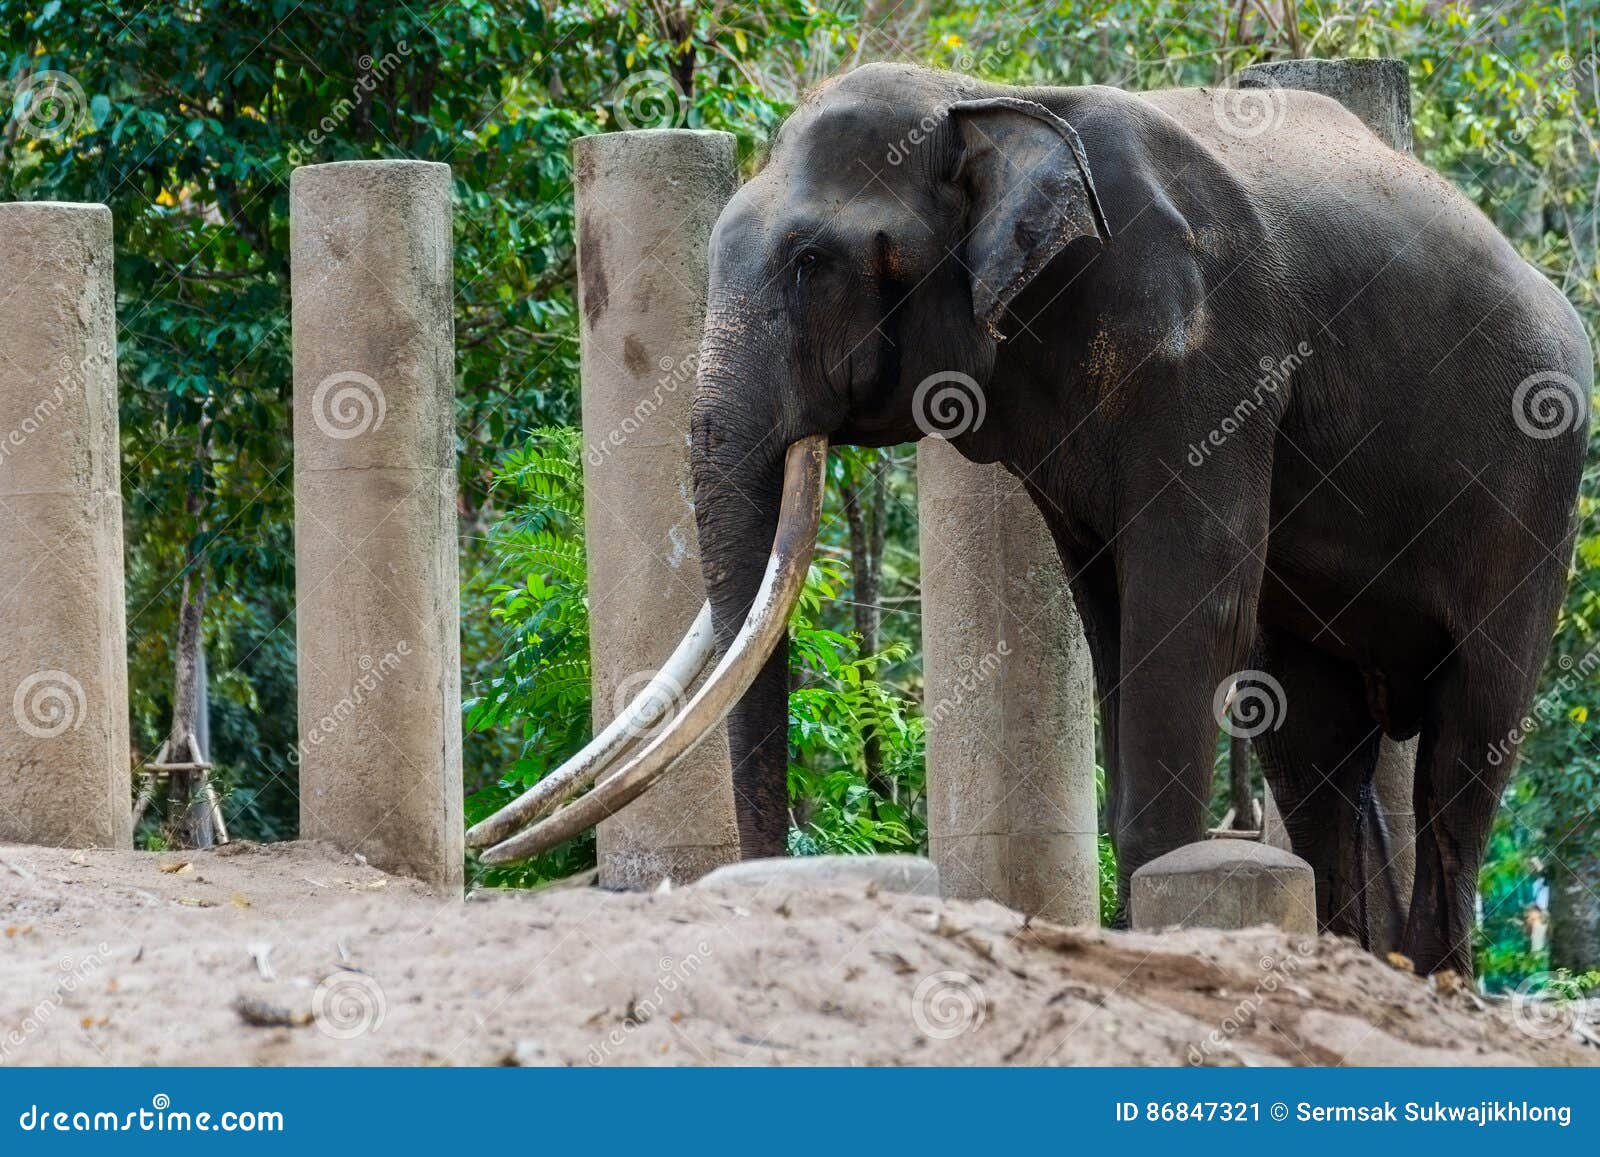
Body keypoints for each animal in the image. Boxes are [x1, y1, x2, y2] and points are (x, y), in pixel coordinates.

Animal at [471, 63, 1592, 977]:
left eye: (813, 264)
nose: (773, 878)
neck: (987, 98)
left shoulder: (1206, 351)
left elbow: (1190, 605)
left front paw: (1156, 920)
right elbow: (1110, 611)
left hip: (1538, 483)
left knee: (1466, 740)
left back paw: (1435, 977)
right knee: (1318, 741)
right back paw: (1369, 962)